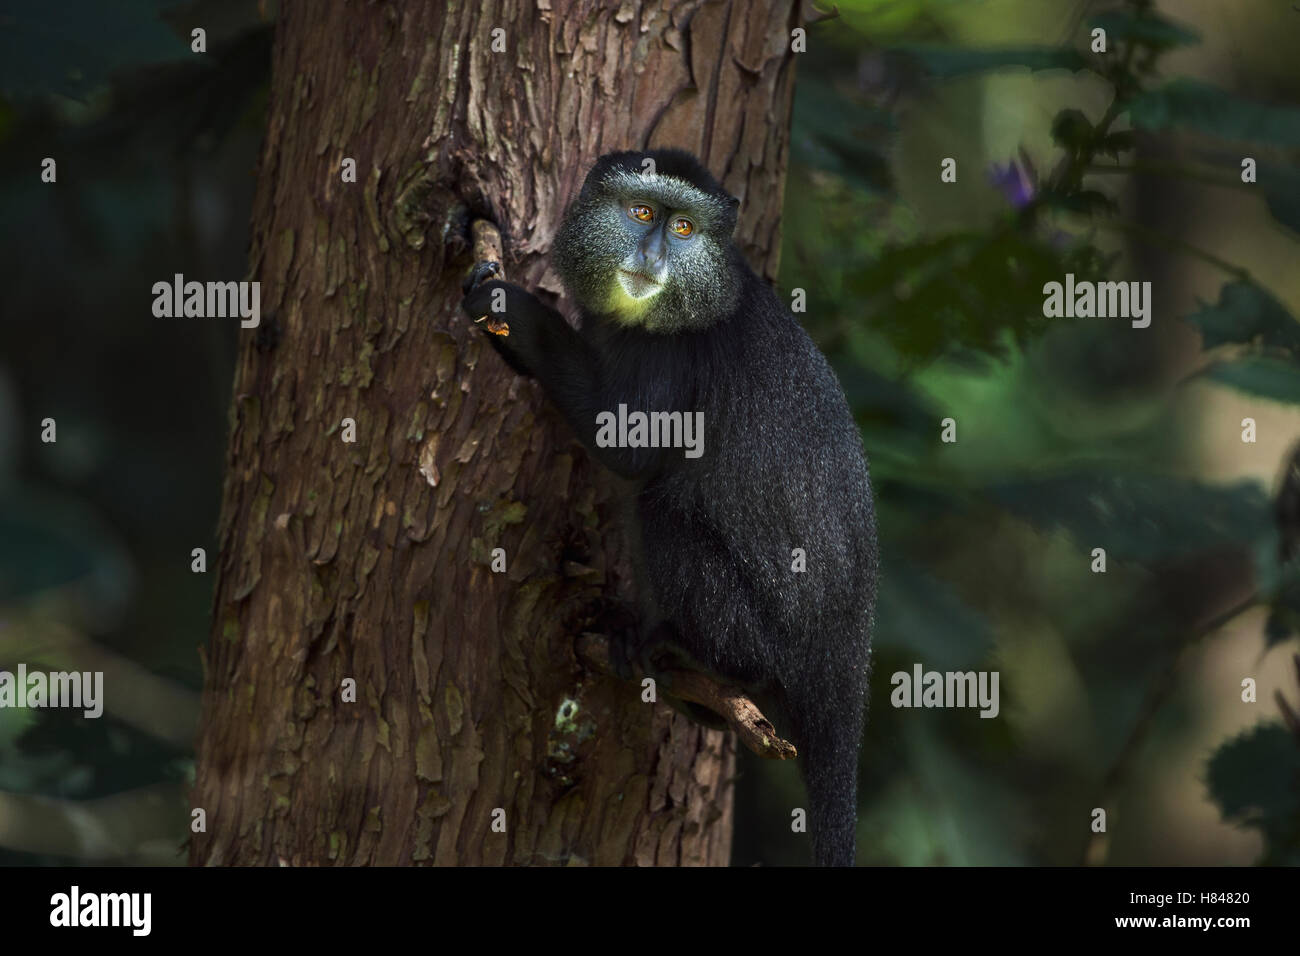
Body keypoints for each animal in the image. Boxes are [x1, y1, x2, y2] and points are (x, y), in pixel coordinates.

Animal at [459, 149, 878, 866]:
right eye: (643, 212)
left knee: (659, 510)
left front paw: (515, 308)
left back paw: (689, 654)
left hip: (766, 638)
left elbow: (622, 448)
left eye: (683, 229)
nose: (653, 254)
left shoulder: (672, 360)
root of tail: (843, 668)